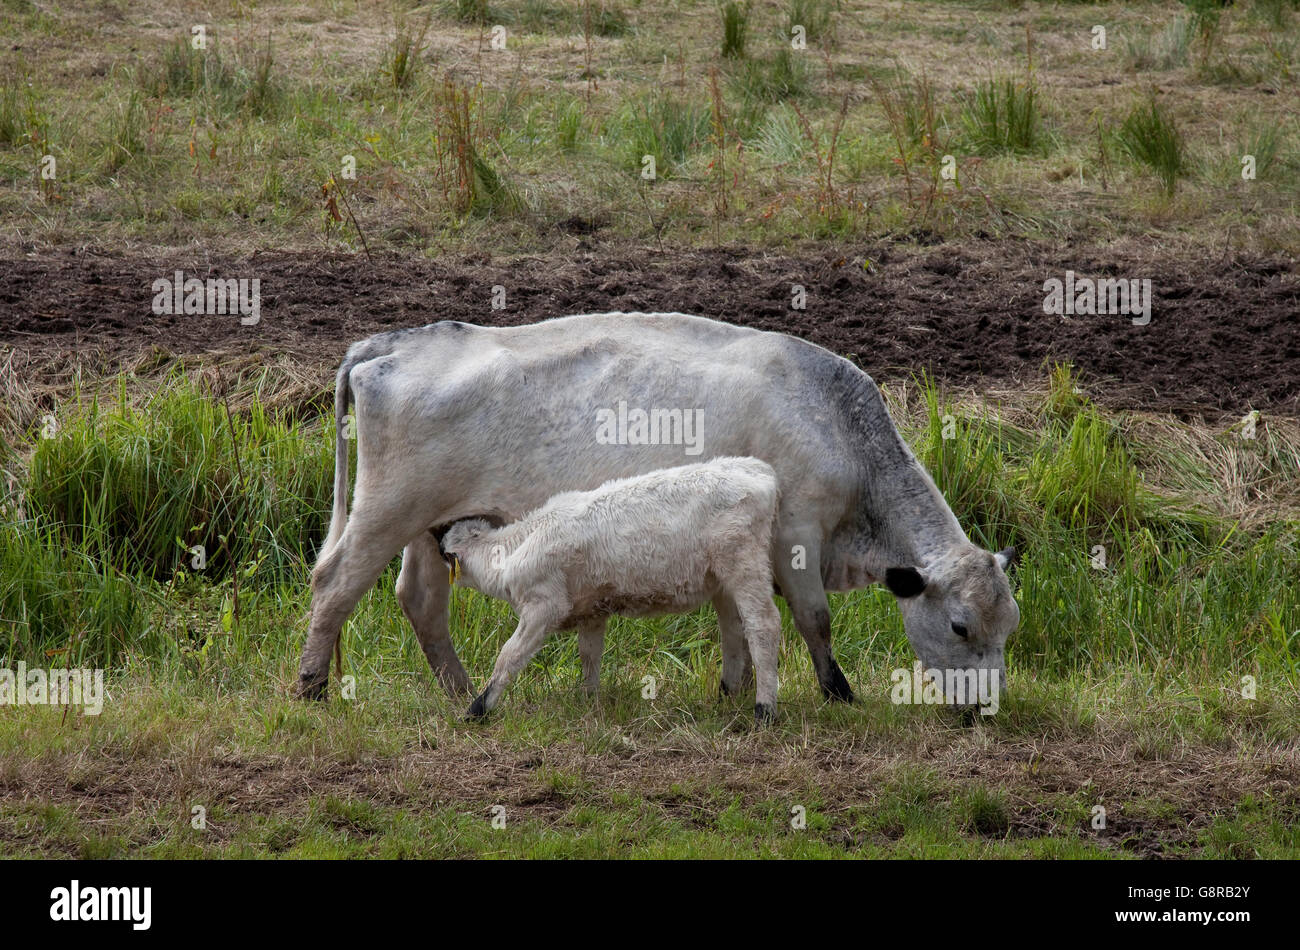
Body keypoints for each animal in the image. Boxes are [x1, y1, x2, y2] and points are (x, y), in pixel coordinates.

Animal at [439, 457, 783, 723]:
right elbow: (589, 656)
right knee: (733, 629)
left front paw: (478, 708)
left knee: (763, 625)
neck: (515, 547)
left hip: (743, 561)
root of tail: (759, 471)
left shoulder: (544, 606)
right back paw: (725, 695)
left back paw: (764, 710)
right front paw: (588, 702)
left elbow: (509, 655)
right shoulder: (591, 609)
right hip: (721, 578)